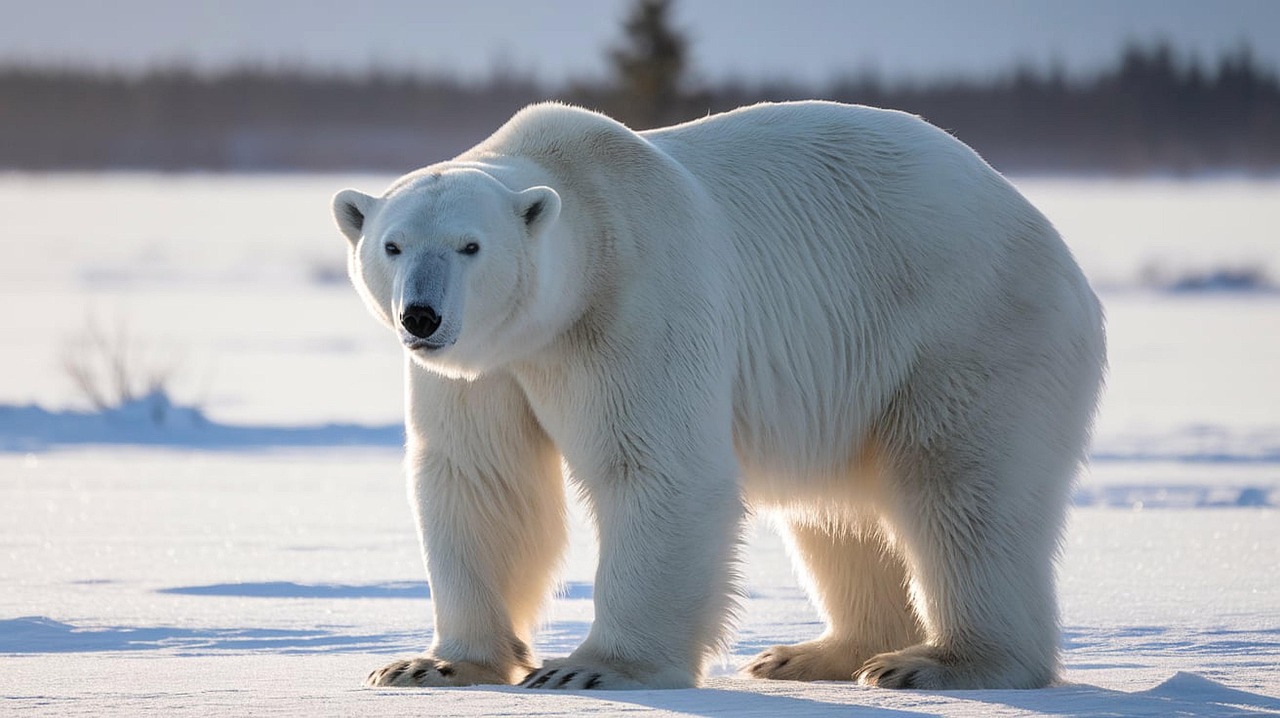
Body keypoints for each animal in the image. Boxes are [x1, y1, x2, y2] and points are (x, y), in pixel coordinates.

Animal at [332, 100, 1105, 691]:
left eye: (471, 246)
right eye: (393, 245)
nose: (421, 317)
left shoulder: (638, 303)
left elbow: (656, 468)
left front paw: (591, 669)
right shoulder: (488, 370)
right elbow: (481, 482)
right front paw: (429, 666)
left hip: (967, 329)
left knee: (963, 490)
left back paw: (939, 662)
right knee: (841, 511)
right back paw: (816, 653)